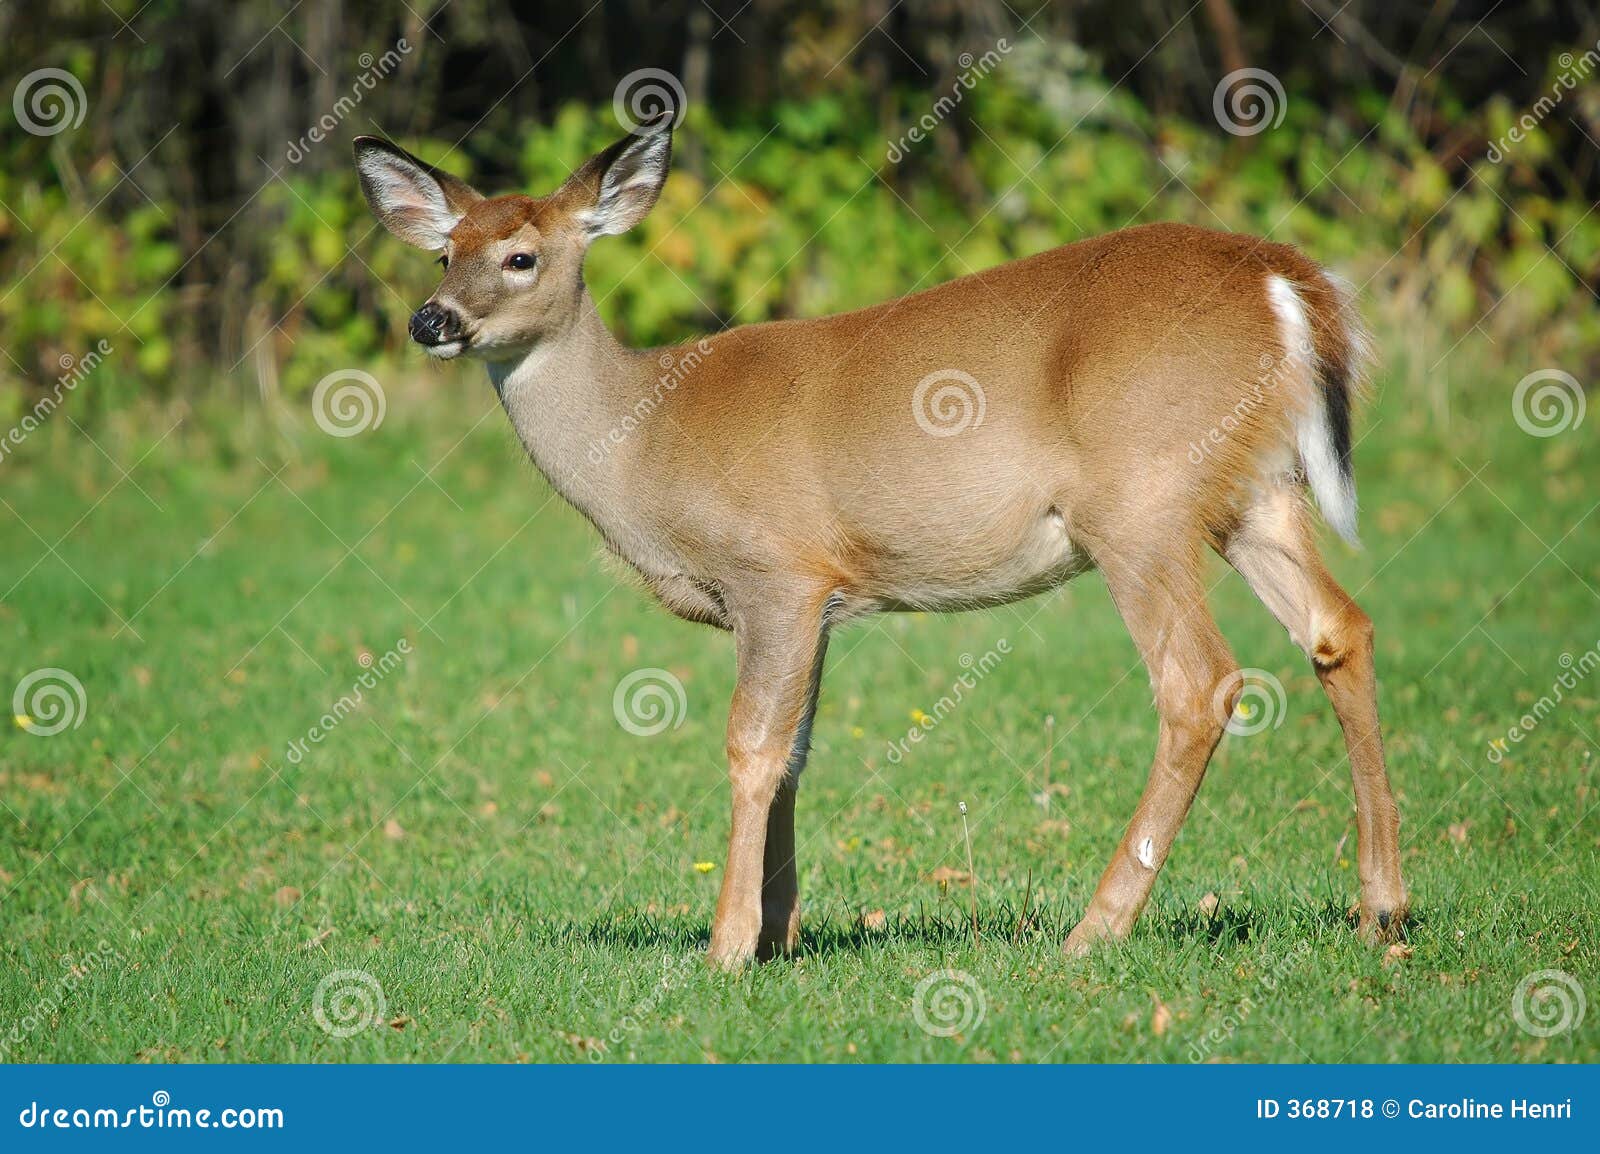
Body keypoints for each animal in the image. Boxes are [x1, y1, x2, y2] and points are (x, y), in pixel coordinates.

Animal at [353, 110, 1408, 968]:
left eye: (521, 257)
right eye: (444, 252)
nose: (430, 319)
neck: (649, 442)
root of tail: (1286, 283)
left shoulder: (775, 568)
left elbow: (750, 746)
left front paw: (726, 947)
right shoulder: (820, 594)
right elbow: (796, 749)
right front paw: (780, 932)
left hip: (1139, 498)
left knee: (1201, 682)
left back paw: (1095, 929)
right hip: (1255, 492)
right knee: (1339, 629)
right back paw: (1381, 910)